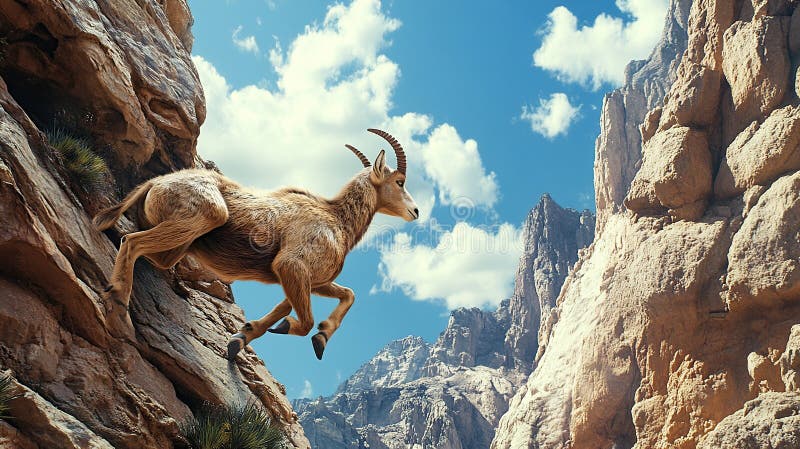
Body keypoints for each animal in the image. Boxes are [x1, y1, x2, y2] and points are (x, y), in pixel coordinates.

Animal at [93, 129, 419, 360]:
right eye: (400, 181)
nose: (415, 211)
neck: (336, 219)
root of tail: (155, 184)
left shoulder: (310, 280)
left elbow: (344, 295)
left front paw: (243, 337)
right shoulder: (291, 266)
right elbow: (304, 321)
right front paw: (290, 329)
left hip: (177, 248)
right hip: (203, 217)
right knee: (131, 242)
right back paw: (118, 306)